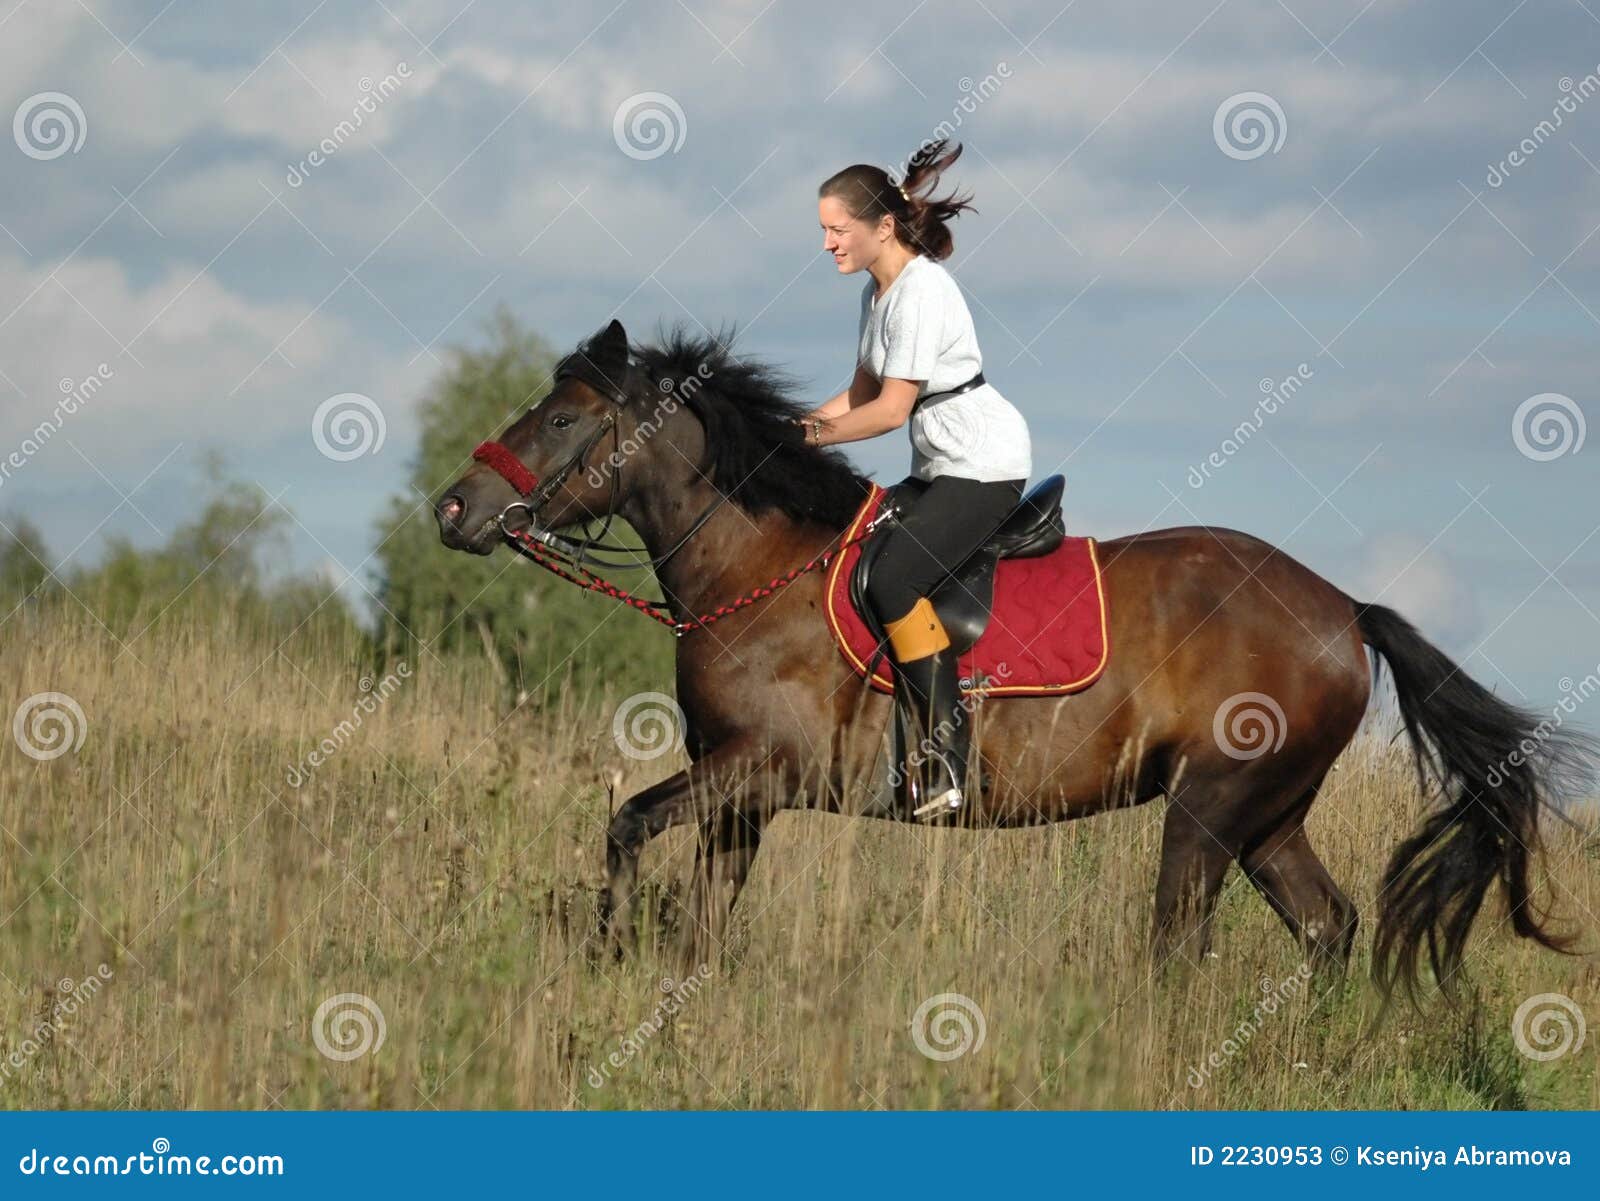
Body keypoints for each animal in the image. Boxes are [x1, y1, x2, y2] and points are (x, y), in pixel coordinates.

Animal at [435, 318, 1597, 1003]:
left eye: (563, 417)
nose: (454, 508)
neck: (755, 564)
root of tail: (1343, 609)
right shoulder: (740, 787)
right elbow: (705, 908)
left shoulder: (764, 767)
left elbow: (626, 825)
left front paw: (604, 949)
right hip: (1268, 813)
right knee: (1328, 924)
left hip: (1210, 805)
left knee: (1182, 942)